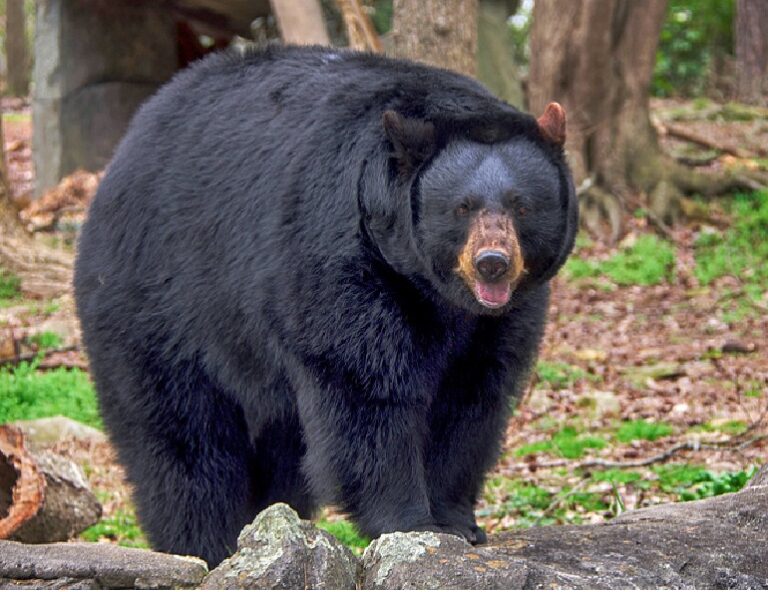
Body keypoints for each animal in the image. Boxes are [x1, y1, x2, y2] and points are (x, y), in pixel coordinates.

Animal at [74, 45, 577, 567]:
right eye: (463, 207)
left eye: (521, 205)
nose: (492, 263)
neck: (435, 292)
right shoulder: (341, 257)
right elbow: (364, 391)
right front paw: (409, 521)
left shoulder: (502, 319)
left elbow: (471, 399)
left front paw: (456, 520)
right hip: (159, 302)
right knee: (183, 437)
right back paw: (203, 545)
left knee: (277, 457)